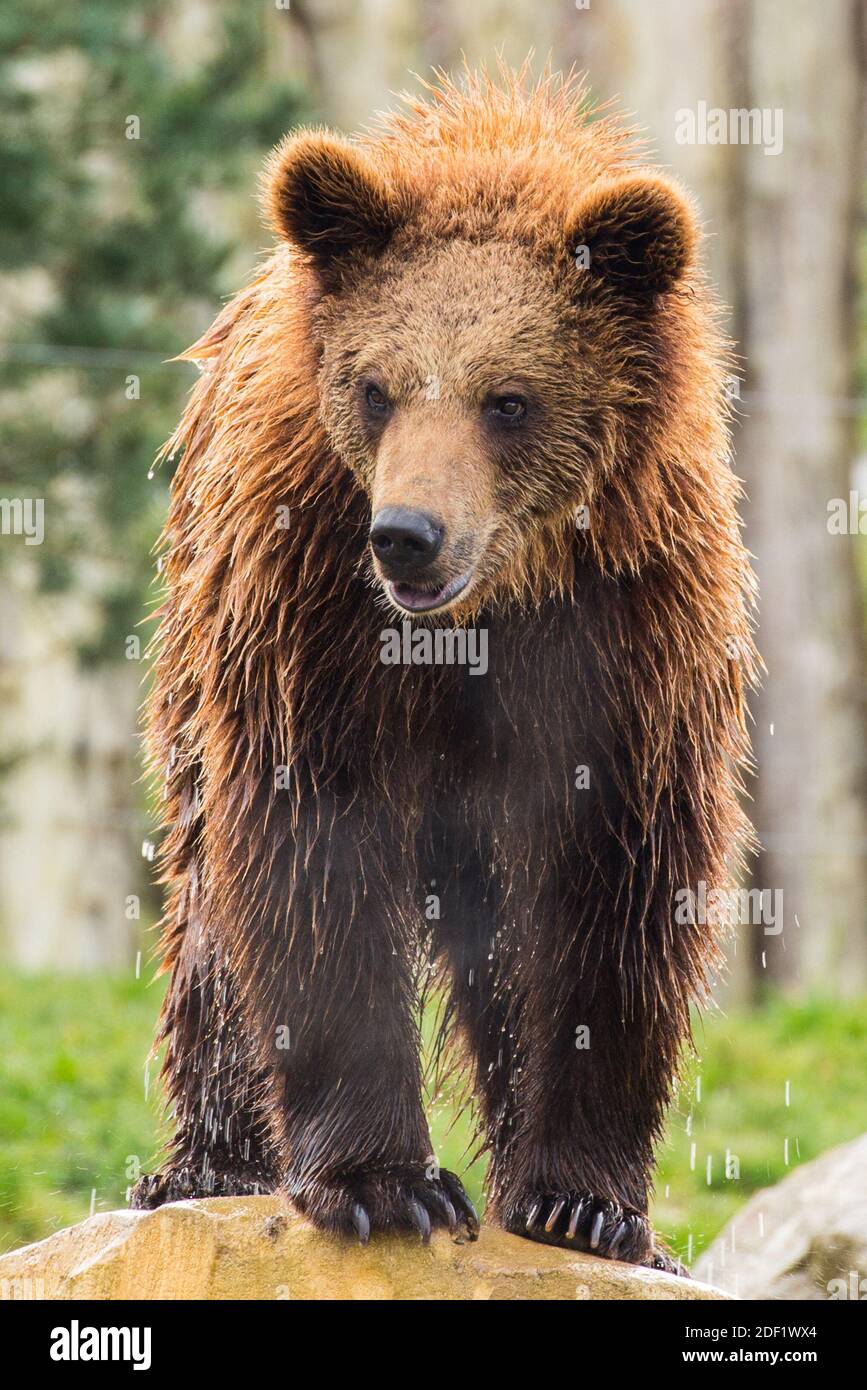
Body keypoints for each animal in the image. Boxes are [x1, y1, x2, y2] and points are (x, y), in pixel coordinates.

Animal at [132, 66, 757, 1272]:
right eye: (375, 386)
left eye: (507, 397)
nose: (407, 537)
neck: (485, 615)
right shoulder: (311, 618)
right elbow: (309, 861)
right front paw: (386, 1185)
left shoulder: (629, 638)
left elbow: (615, 889)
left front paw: (586, 1203)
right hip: (198, 645)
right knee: (208, 918)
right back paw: (204, 1165)